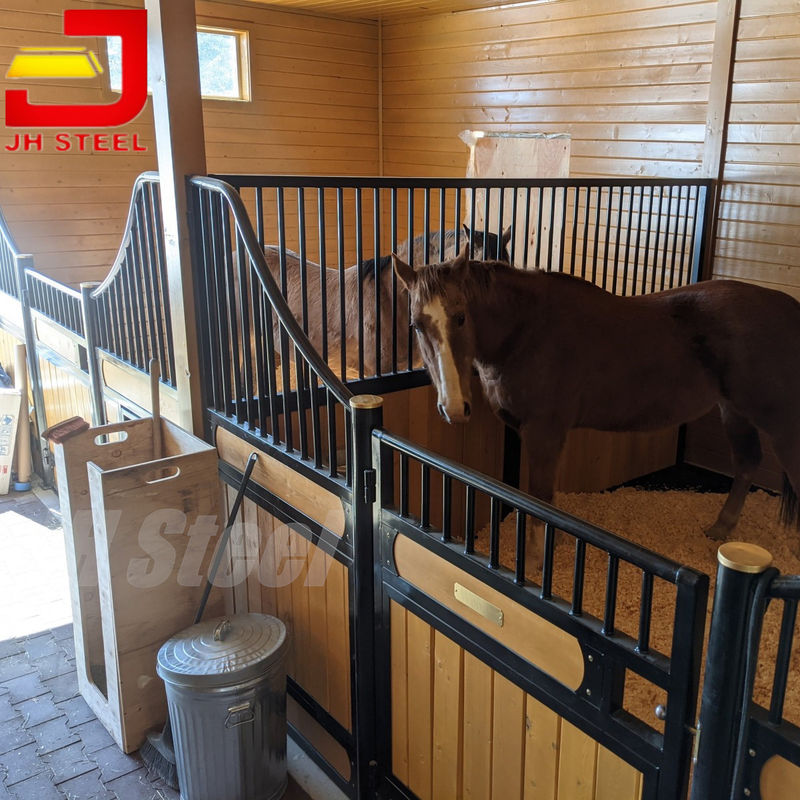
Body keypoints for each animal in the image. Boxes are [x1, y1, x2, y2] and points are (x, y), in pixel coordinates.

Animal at [392, 247, 800, 566]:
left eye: (461, 317)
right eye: (416, 325)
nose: (454, 407)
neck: (527, 331)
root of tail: (787, 308)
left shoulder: (544, 432)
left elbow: (539, 498)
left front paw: (537, 563)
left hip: (781, 424)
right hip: (734, 410)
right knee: (746, 461)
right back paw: (720, 528)